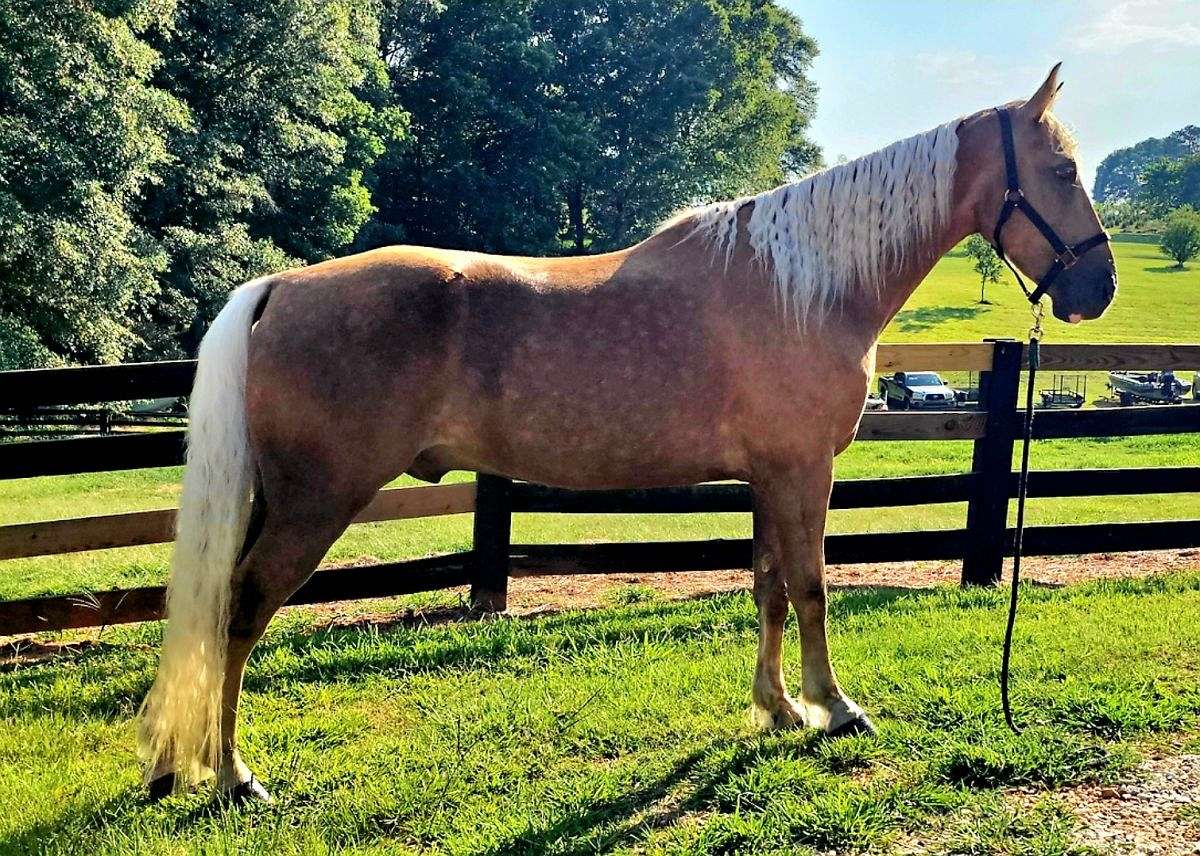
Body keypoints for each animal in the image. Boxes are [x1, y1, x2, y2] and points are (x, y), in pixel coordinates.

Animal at [138, 64, 1116, 802]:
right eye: (1063, 172)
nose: (1097, 288)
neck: (803, 282)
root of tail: (279, 286)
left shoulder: (768, 476)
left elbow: (766, 588)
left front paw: (777, 710)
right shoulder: (803, 471)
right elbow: (811, 588)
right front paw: (834, 709)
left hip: (277, 500)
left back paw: (183, 768)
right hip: (315, 504)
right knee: (241, 611)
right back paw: (233, 777)